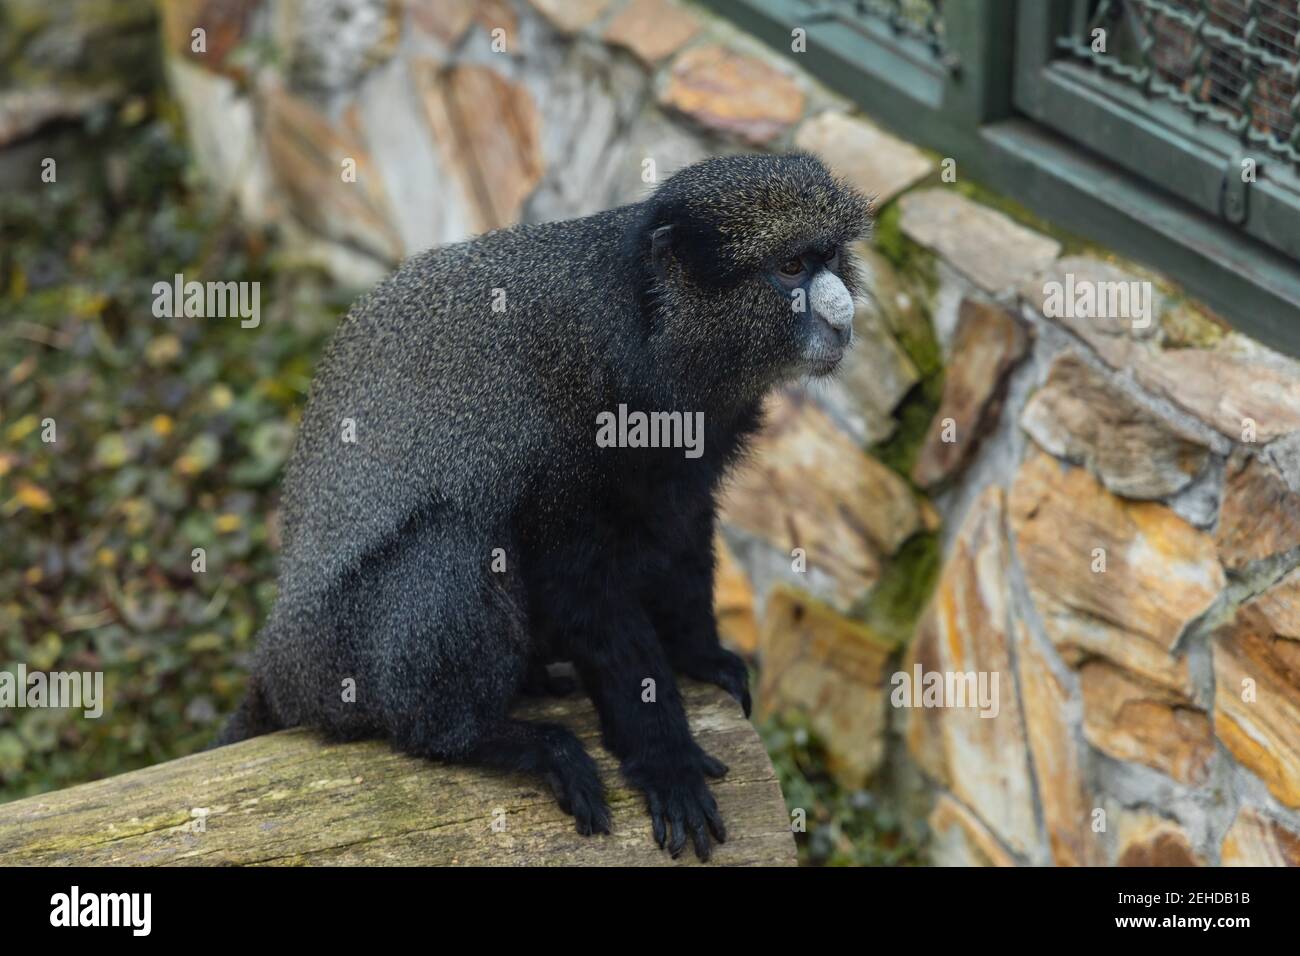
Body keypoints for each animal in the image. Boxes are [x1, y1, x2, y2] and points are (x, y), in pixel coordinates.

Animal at [215, 152, 871, 861]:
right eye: (791, 267)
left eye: (829, 256)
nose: (842, 317)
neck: (658, 336)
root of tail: (282, 664)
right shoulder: (571, 438)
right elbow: (583, 586)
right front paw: (666, 758)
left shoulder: (692, 454)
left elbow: (681, 534)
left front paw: (699, 653)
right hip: (347, 661)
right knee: (447, 543)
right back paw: (490, 739)